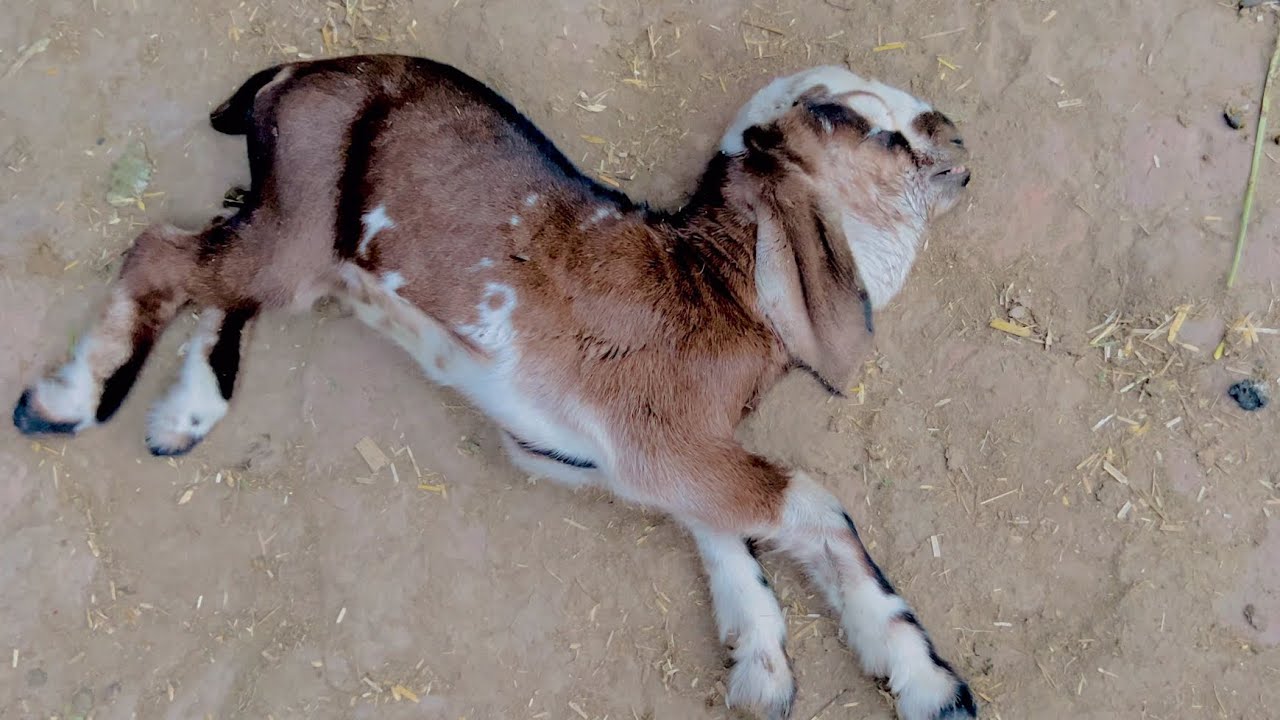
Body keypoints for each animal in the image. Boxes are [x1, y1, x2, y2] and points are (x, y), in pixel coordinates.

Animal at [13, 55, 973, 720]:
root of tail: (296, 73)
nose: (955, 137)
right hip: (296, 231)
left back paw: (183, 414)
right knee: (160, 253)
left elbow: (726, 530)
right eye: (852, 118)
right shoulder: (666, 445)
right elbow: (816, 506)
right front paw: (927, 682)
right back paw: (64, 403)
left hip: (288, 238)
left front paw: (761, 664)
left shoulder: (625, 457)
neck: (726, 287)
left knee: (218, 270)